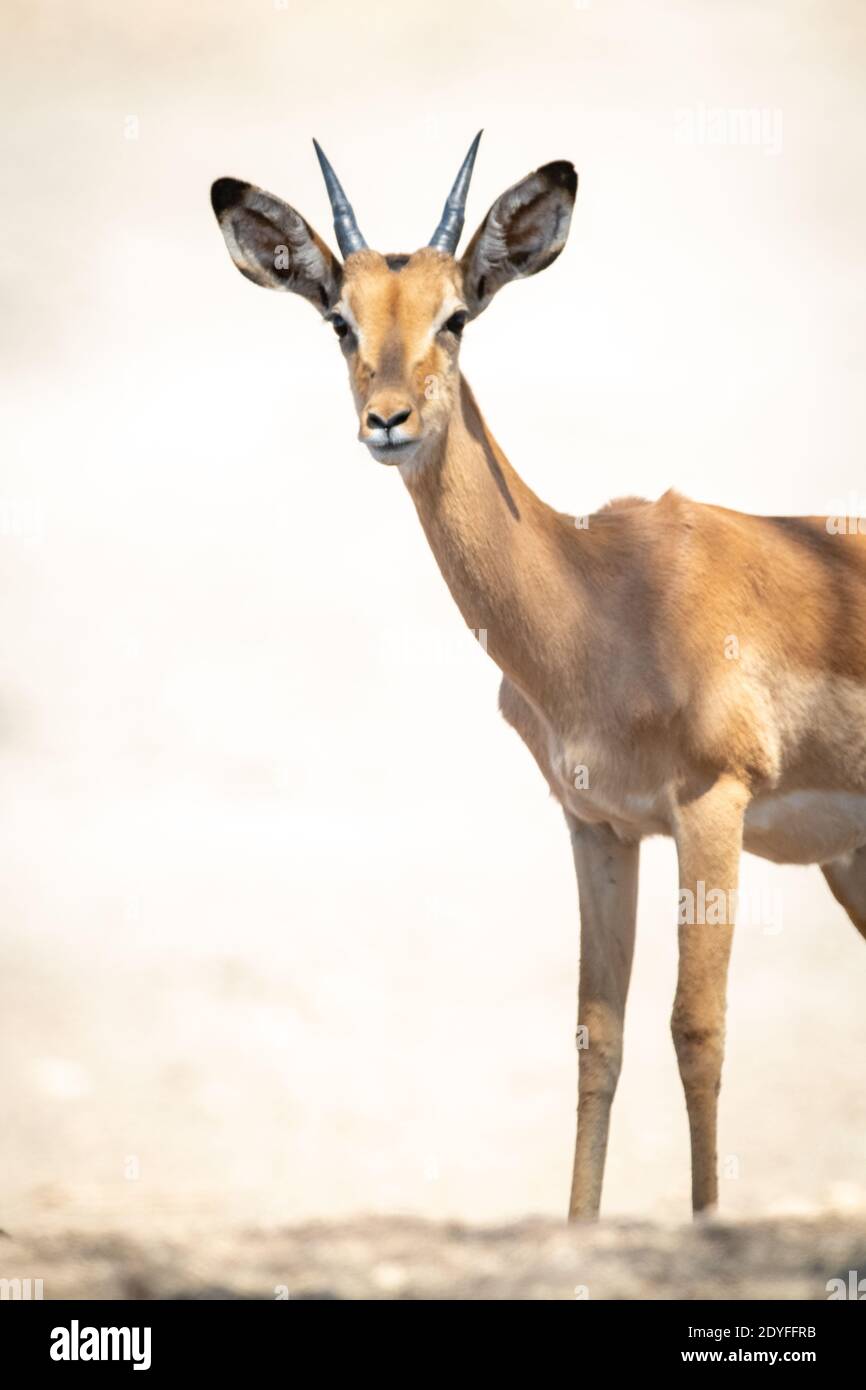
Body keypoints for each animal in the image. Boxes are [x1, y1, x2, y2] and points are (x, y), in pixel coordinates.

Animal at [210, 134, 866, 1219]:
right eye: (341, 319)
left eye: (456, 315)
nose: (388, 421)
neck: (603, 594)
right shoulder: (597, 825)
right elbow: (598, 1035)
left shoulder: (711, 806)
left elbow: (696, 1030)